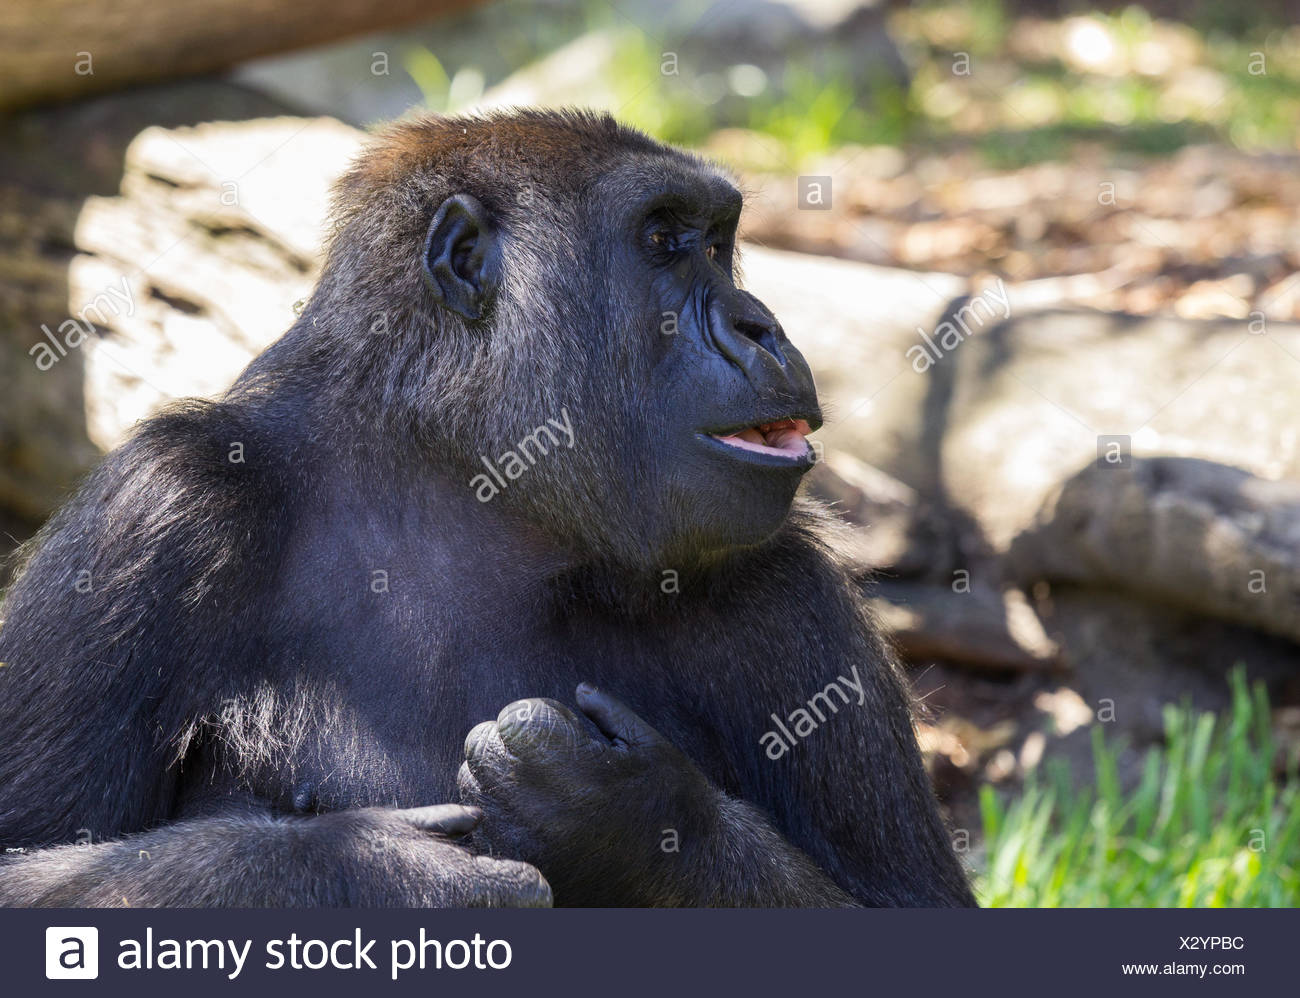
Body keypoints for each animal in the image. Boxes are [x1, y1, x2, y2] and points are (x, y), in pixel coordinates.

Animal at [0, 110, 974, 907]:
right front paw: (368, 872)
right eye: (663, 239)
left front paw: (633, 818)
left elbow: (909, 906)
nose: (761, 326)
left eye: (716, 242)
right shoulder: (160, 503)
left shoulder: (791, 590)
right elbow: (27, 856)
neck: (456, 485)